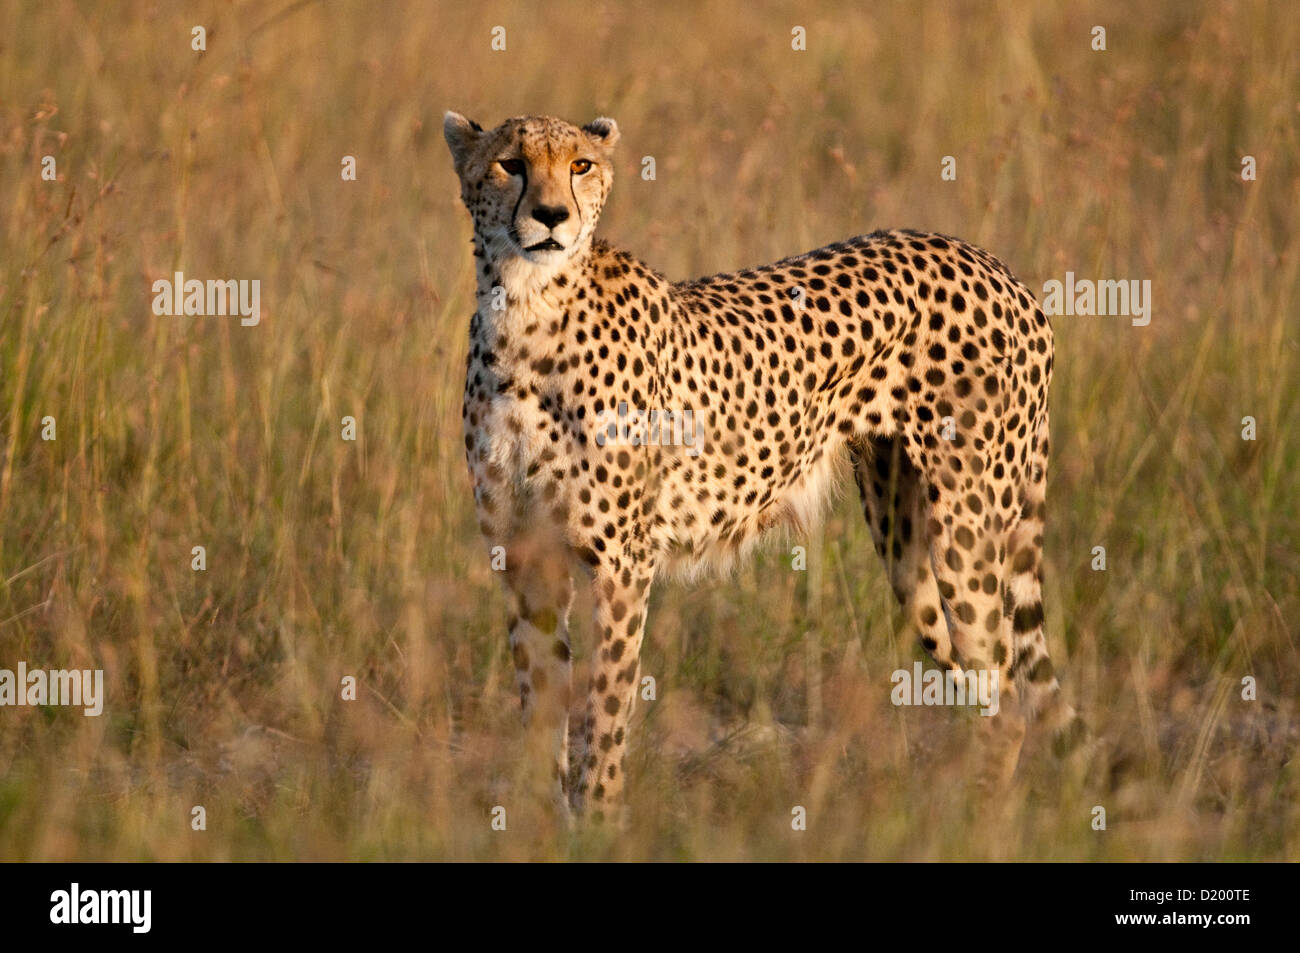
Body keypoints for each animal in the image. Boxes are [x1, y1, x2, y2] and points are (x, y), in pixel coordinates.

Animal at [443, 111, 1086, 819]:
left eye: (579, 165)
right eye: (511, 164)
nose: (552, 215)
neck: (525, 315)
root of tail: (995, 265)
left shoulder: (621, 564)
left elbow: (604, 717)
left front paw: (601, 823)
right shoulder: (523, 557)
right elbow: (542, 714)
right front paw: (540, 825)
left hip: (964, 529)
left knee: (1006, 700)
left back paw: (978, 825)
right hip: (906, 543)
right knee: (980, 687)